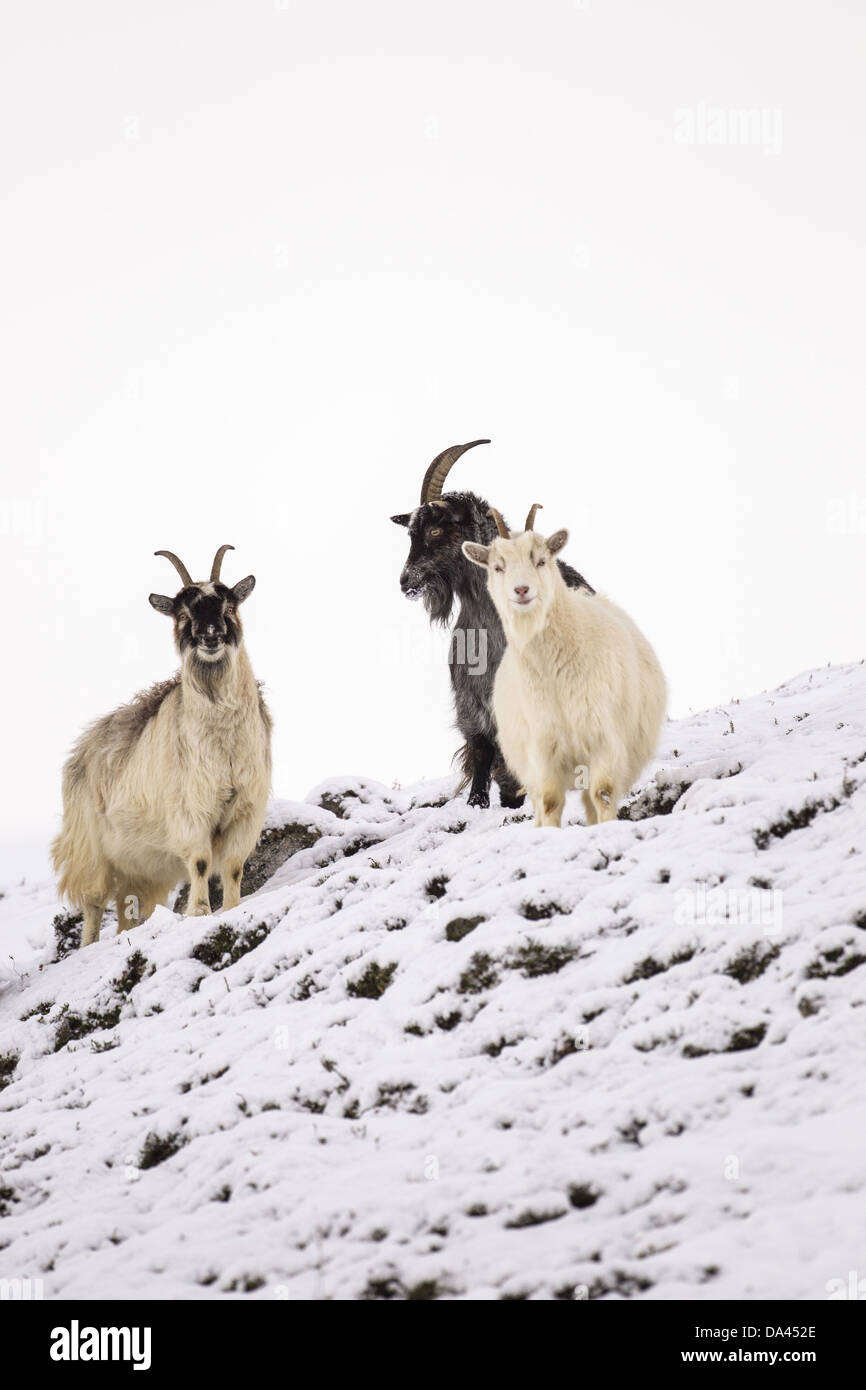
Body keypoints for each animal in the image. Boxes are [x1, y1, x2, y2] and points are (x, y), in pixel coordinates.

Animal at [52, 544, 272, 946]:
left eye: (229, 607)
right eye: (183, 615)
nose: (211, 636)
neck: (224, 744)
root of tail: (81, 750)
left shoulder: (246, 809)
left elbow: (233, 867)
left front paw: (232, 907)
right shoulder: (191, 810)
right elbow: (200, 861)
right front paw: (199, 911)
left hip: (140, 868)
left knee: (128, 911)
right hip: (90, 849)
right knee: (93, 902)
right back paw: (89, 946)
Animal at [392, 441, 594, 808]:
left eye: (436, 529)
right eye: (411, 533)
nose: (405, 582)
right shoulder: (472, 701)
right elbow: (482, 749)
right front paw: (477, 802)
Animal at [462, 505, 666, 827]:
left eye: (541, 560)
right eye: (497, 567)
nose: (522, 590)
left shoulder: (603, 738)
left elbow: (603, 793)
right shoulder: (542, 750)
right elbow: (549, 802)